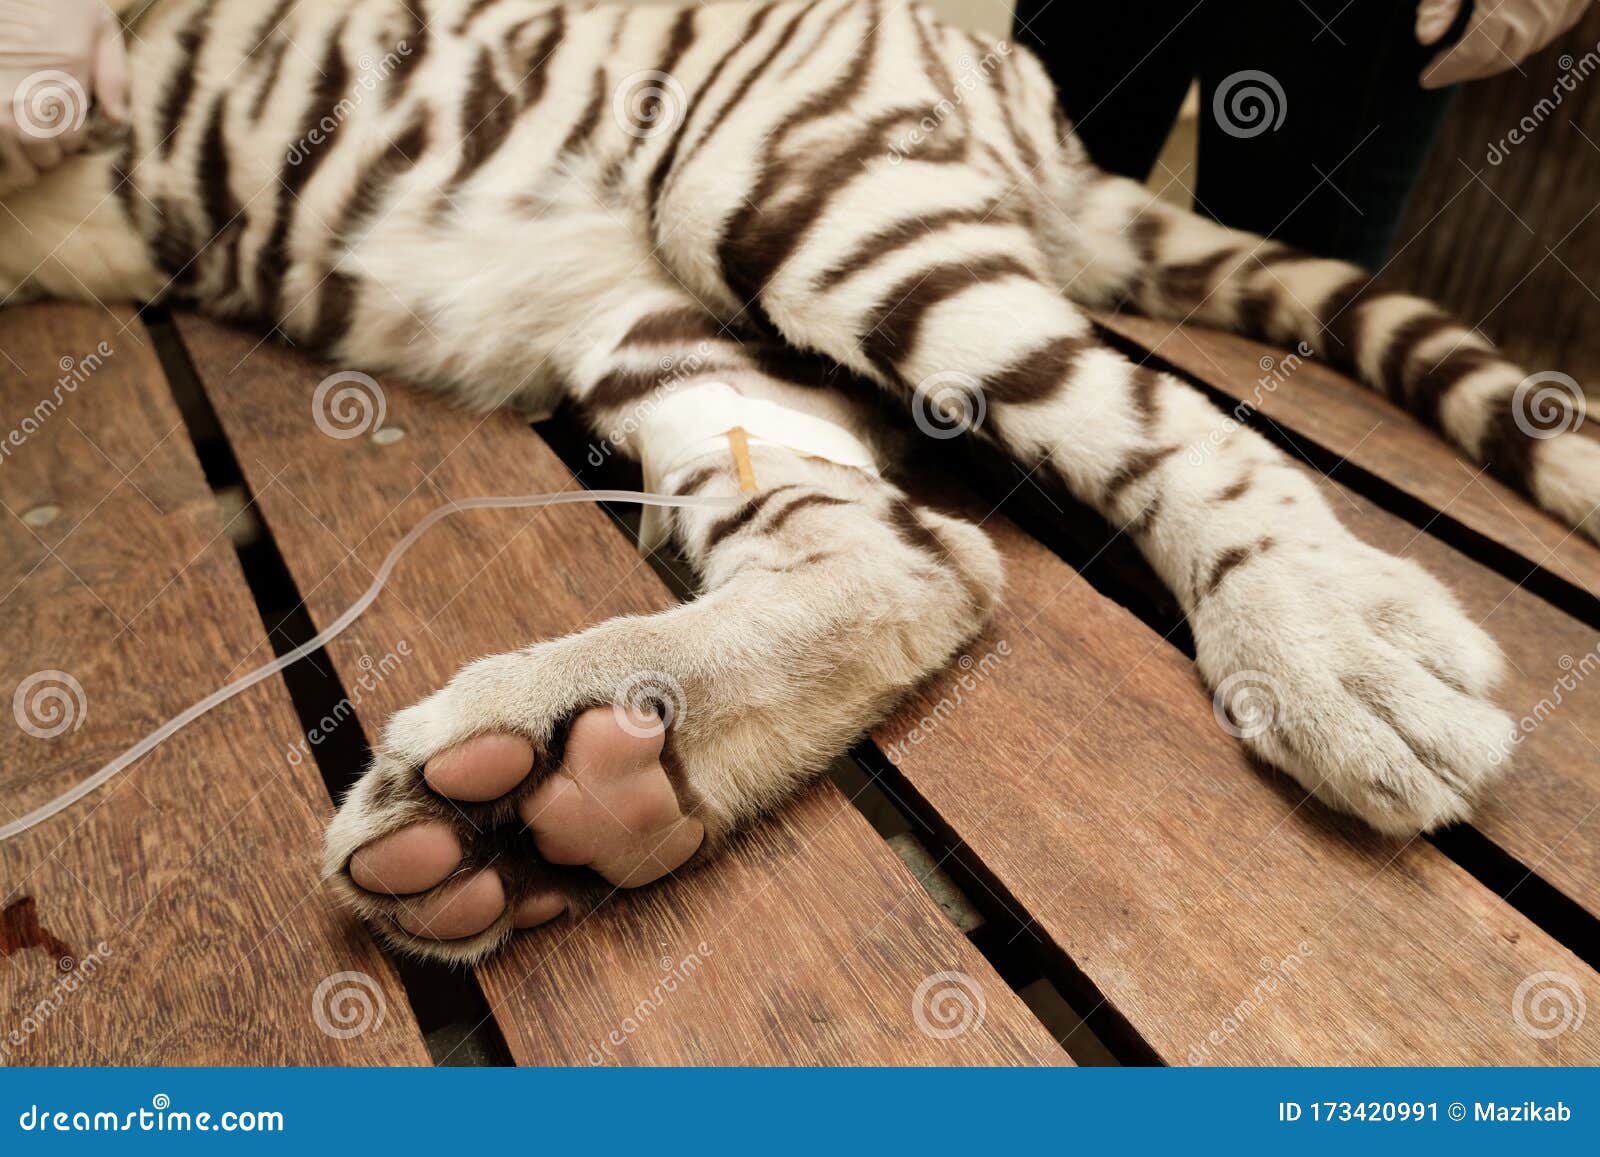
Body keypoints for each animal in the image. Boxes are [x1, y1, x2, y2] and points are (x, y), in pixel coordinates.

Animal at [1, 0, 1594, 964]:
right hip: (653, 319)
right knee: (917, 559)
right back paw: (559, 786)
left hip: (792, 177)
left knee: (1170, 427)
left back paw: (1331, 650)